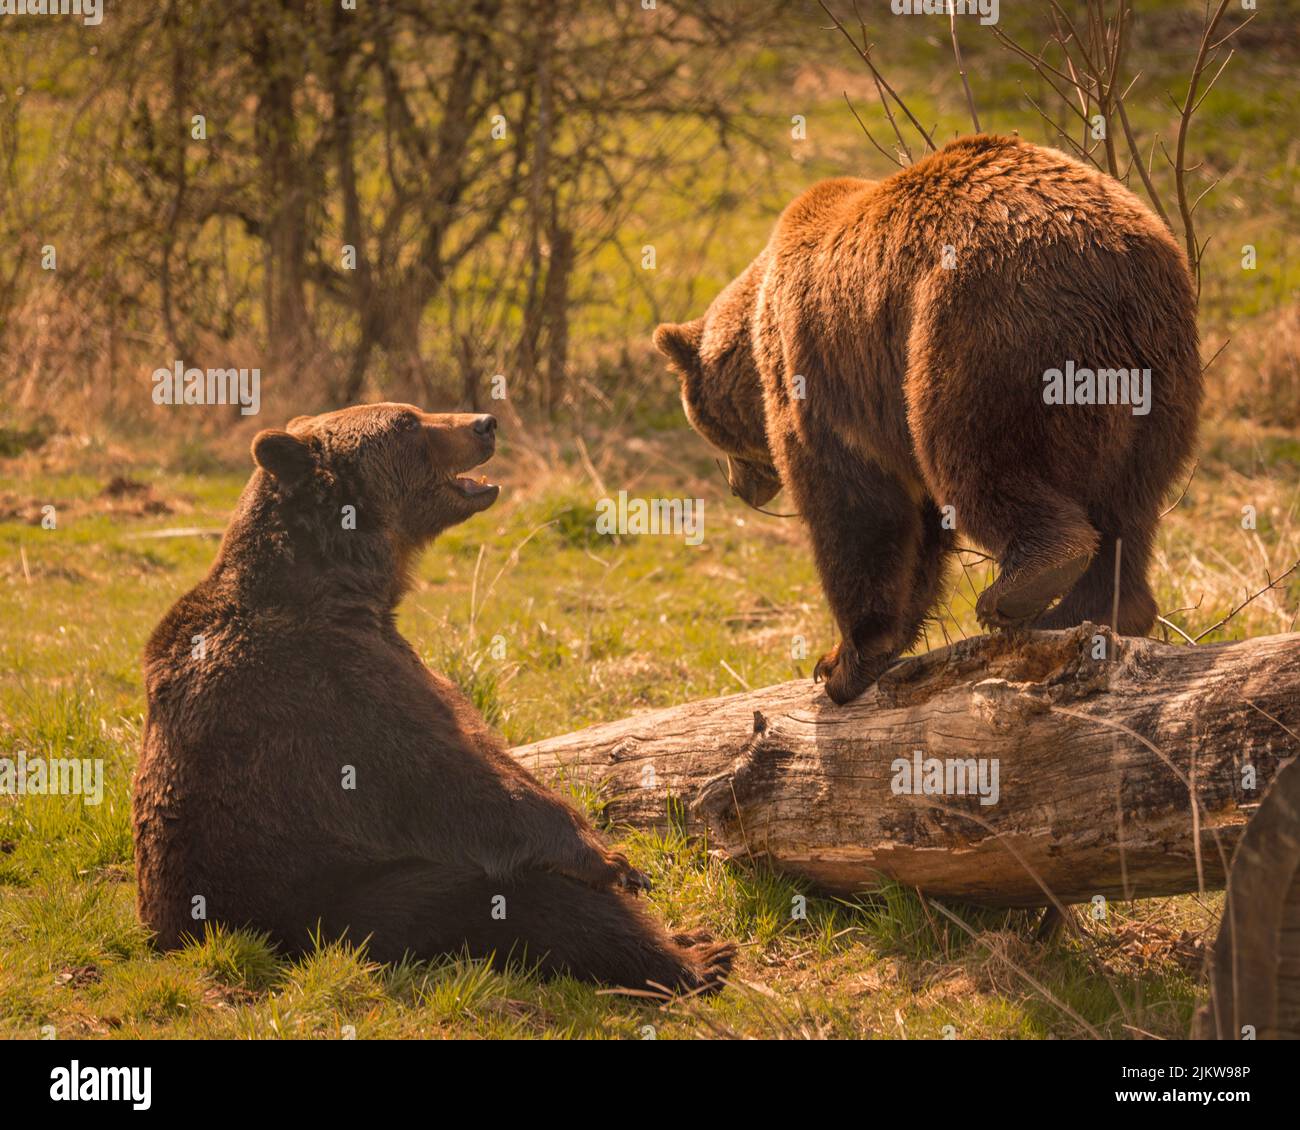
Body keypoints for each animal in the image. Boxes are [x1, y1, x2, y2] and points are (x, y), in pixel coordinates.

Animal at [133, 403, 733, 995]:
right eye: (407, 422)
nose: (485, 423)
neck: (345, 586)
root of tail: (170, 937)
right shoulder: (331, 693)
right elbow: (453, 784)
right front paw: (608, 858)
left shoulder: (400, 660)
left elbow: (485, 744)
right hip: (334, 903)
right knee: (525, 903)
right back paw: (695, 958)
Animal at [654, 134, 1201, 705]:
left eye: (707, 431)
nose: (739, 488)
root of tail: (1112, 270)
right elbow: (918, 533)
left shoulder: (821, 380)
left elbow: (855, 508)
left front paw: (841, 662)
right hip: (1160, 377)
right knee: (1130, 507)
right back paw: (1086, 614)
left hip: (980, 334)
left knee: (975, 461)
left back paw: (1024, 585)